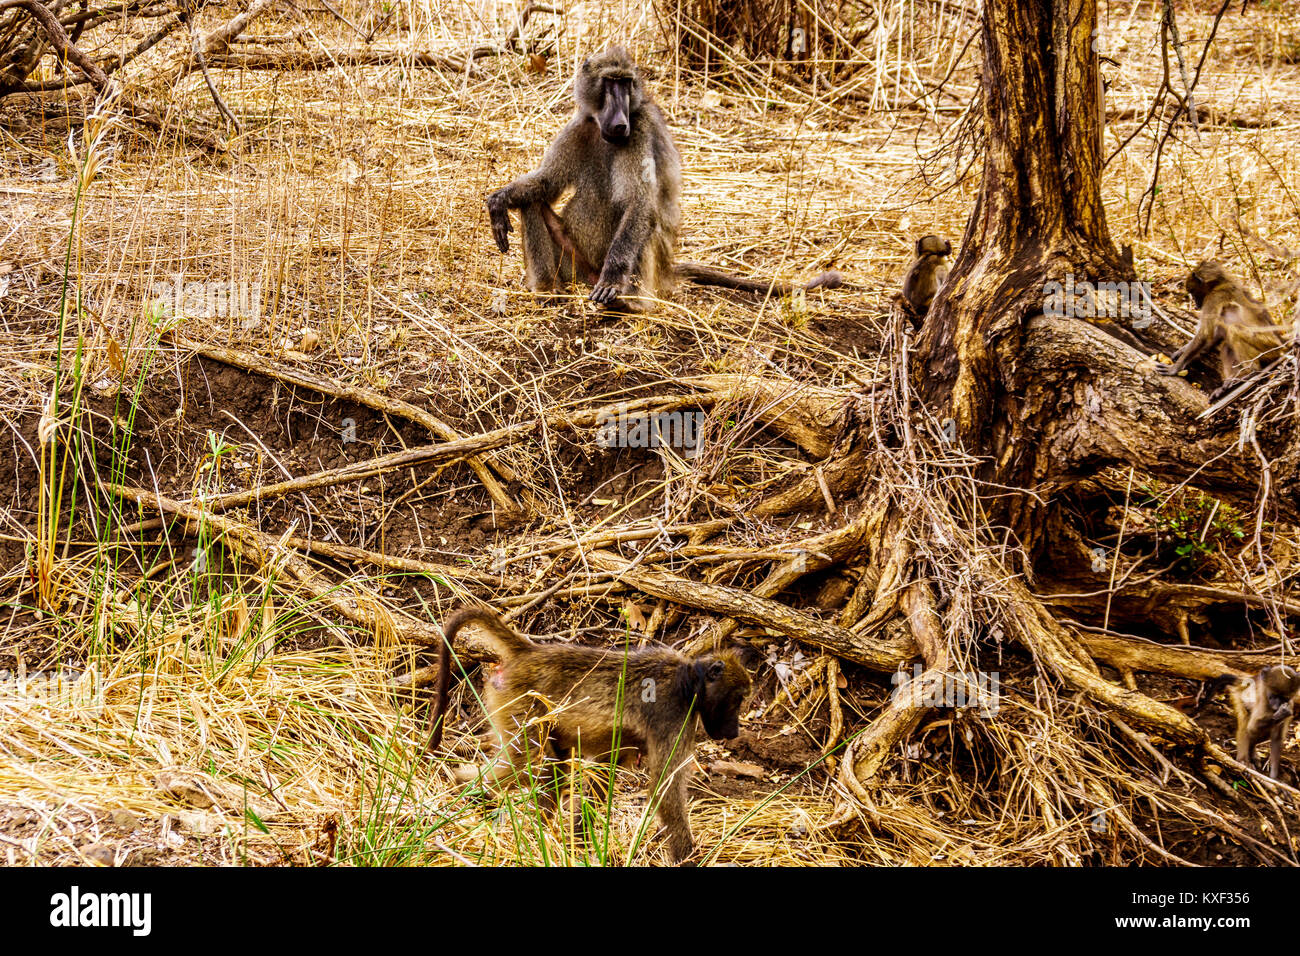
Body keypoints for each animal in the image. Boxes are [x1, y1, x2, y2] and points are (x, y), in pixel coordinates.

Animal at [428, 606, 751, 864]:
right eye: (737, 699)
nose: (733, 731)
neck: (689, 681)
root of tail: (531, 652)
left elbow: (602, 773)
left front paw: (579, 840)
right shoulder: (672, 716)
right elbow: (666, 790)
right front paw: (689, 858)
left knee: (550, 770)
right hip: (521, 708)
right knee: (526, 765)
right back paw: (463, 792)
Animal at [485, 45, 841, 310]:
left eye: (626, 83)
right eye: (609, 82)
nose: (620, 122)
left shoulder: (640, 127)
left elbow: (638, 202)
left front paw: (615, 280)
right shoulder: (579, 126)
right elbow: (546, 183)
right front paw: (499, 201)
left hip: (636, 273)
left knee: (646, 220)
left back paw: (630, 304)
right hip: (575, 267)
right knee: (533, 201)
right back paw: (547, 291)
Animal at [1159, 261, 1289, 398]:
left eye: (1193, 292)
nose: (1195, 304)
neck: (1220, 284)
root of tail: (1282, 342)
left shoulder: (1214, 298)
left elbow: (1205, 335)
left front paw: (1174, 369)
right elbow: (1216, 335)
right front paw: (1181, 351)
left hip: (1268, 347)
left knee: (1234, 330)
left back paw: (1251, 372)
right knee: (1227, 346)